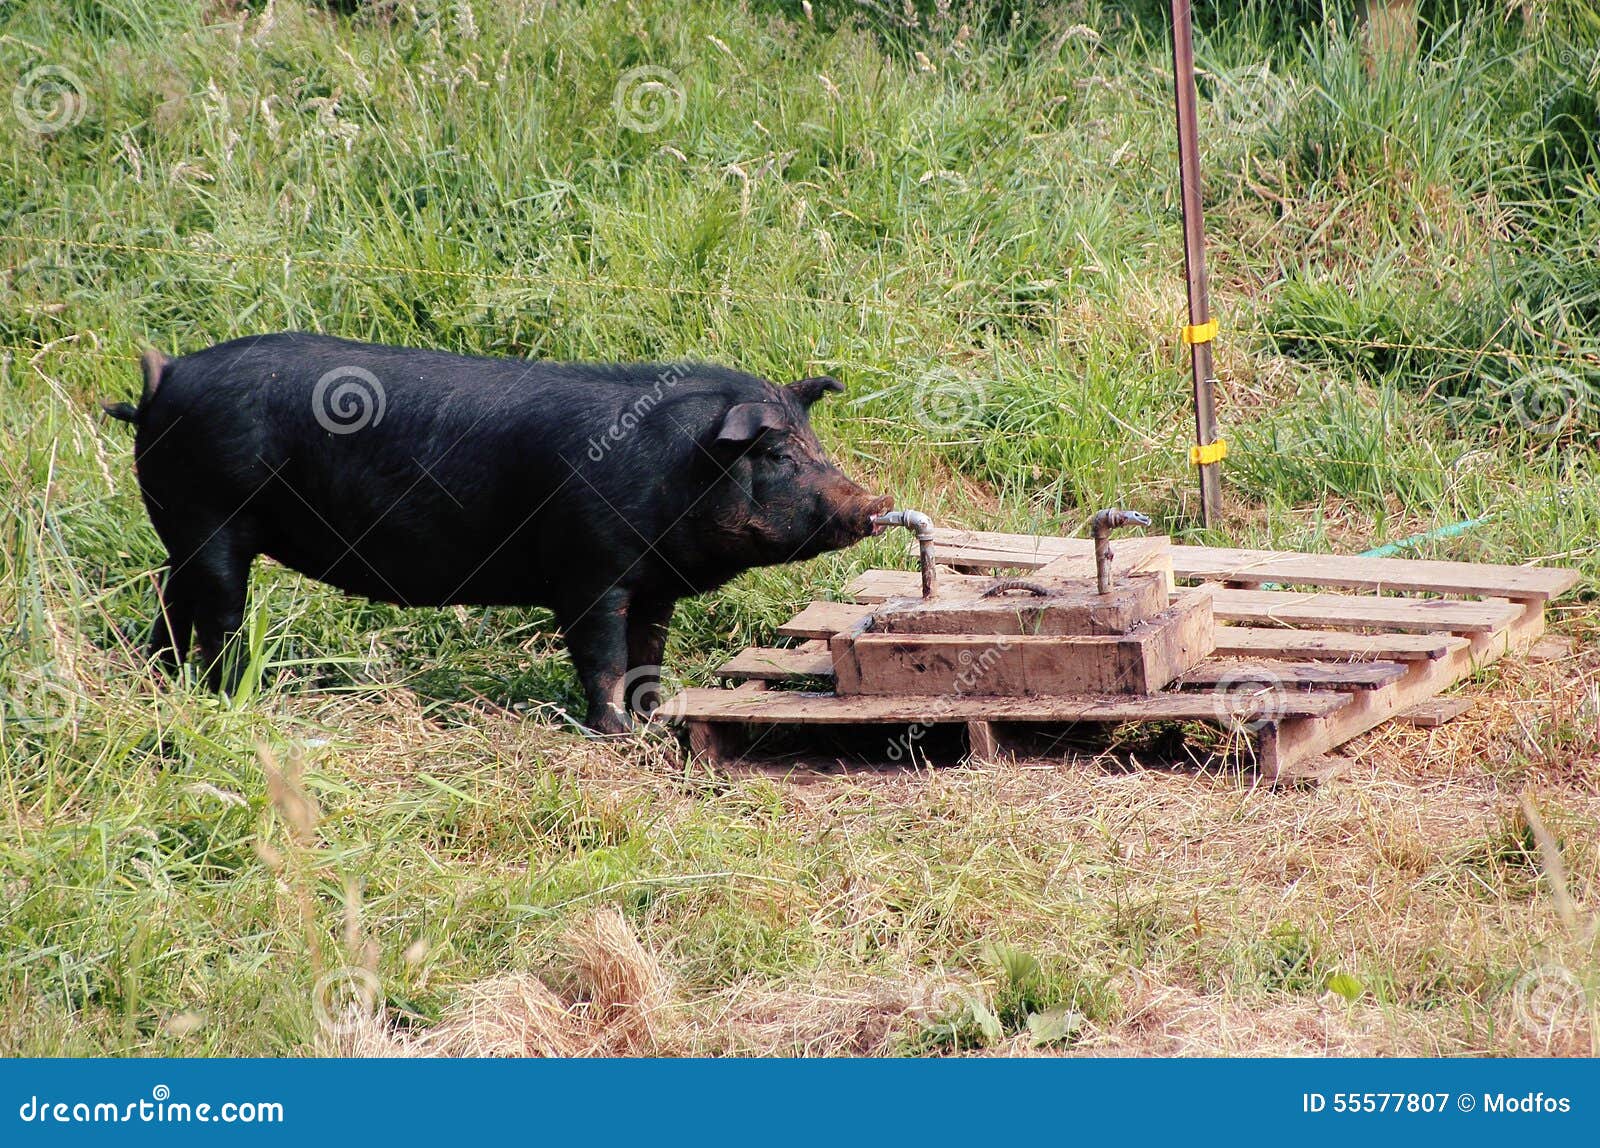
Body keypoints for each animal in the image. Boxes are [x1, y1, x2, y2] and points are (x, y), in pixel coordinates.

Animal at [104, 333, 890, 732]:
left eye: (817, 445)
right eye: (779, 456)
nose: (874, 501)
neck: (672, 468)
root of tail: (162, 381)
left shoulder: (654, 584)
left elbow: (647, 653)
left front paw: (653, 720)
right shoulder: (588, 570)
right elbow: (602, 656)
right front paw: (614, 734)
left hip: (183, 533)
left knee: (171, 603)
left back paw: (163, 679)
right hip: (211, 522)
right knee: (218, 613)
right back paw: (229, 694)